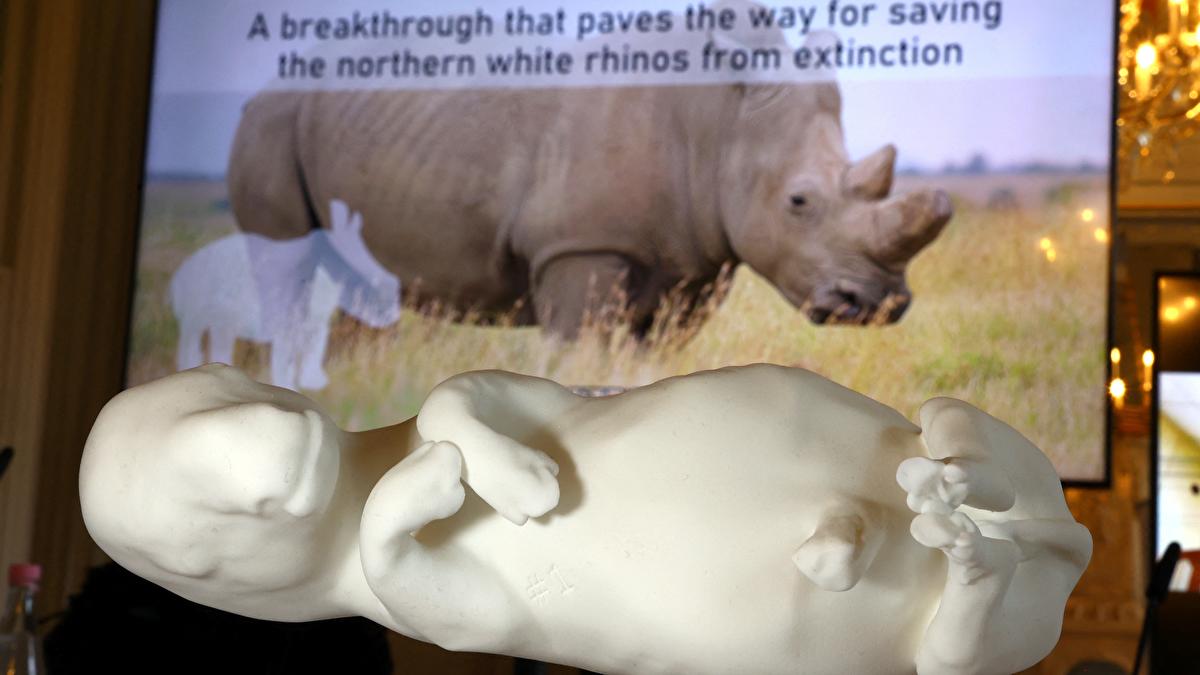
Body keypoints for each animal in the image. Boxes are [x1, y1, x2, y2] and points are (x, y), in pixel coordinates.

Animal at [228, 80, 951, 338]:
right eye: (798, 202)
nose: (879, 304)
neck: (721, 126)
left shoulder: (694, 264)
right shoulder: (579, 246)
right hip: (268, 125)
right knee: (283, 274)